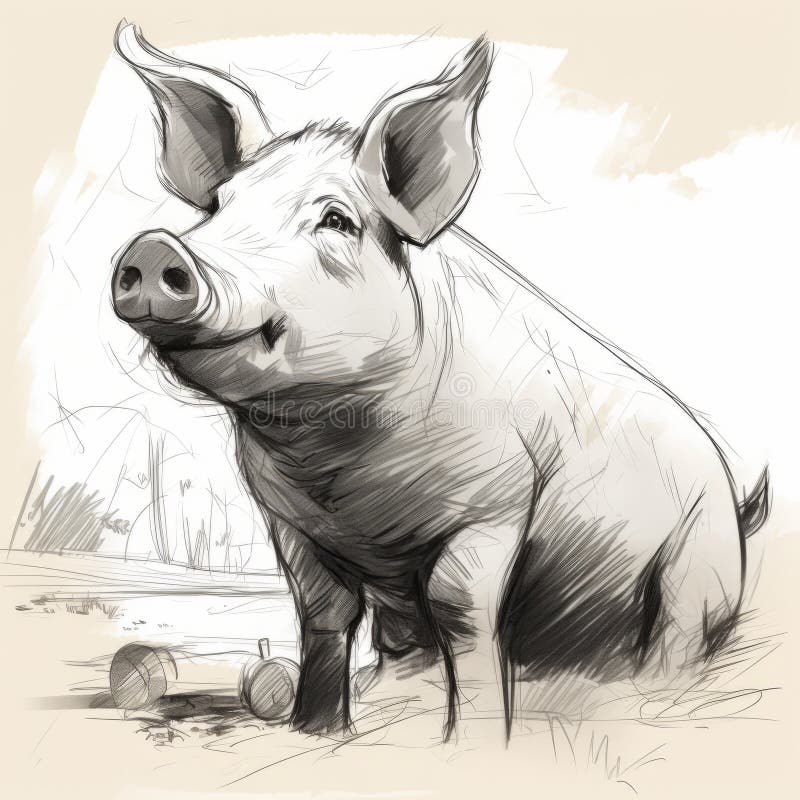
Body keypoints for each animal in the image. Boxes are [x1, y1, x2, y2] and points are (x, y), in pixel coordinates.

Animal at [110, 24, 770, 740]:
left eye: (336, 220)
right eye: (218, 207)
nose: (156, 248)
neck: (337, 466)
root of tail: (736, 497)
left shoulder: (495, 501)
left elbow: (461, 613)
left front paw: (473, 743)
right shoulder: (290, 521)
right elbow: (322, 613)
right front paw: (319, 731)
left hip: (698, 565)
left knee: (675, 641)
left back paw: (650, 698)